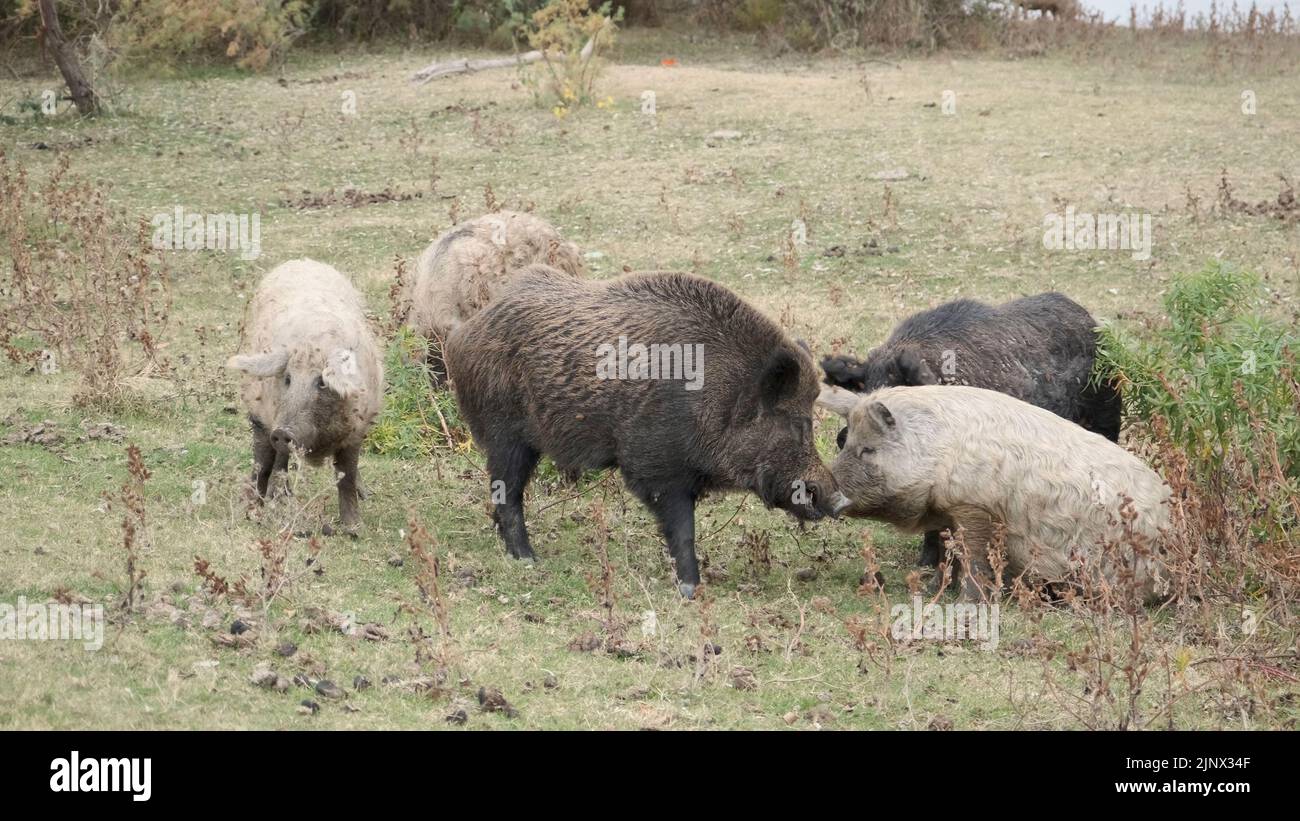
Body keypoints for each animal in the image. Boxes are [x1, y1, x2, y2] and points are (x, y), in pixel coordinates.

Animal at [227, 259, 384, 530]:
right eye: (287, 378)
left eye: (321, 382)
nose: (283, 432)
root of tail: (301, 261)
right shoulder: (265, 417)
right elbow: (264, 461)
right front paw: (253, 512)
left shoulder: (357, 428)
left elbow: (347, 475)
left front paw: (354, 529)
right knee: (269, 460)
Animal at [445, 265, 847, 598]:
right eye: (795, 423)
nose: (840, 500)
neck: (719, 396)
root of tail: (466, 330)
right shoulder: (654, 465)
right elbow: (682, 528)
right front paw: (690, 590)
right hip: (504, 432)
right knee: (507, 491)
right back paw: (528, 559)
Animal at [819, 384, 1171, 604]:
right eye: (845, 443)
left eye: (868, 449)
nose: (827, 496)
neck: (936, 452)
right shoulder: (948, 513)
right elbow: (948, 554)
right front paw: (932, 590)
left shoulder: (975, 507)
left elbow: (973, 557)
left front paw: (968, 602)